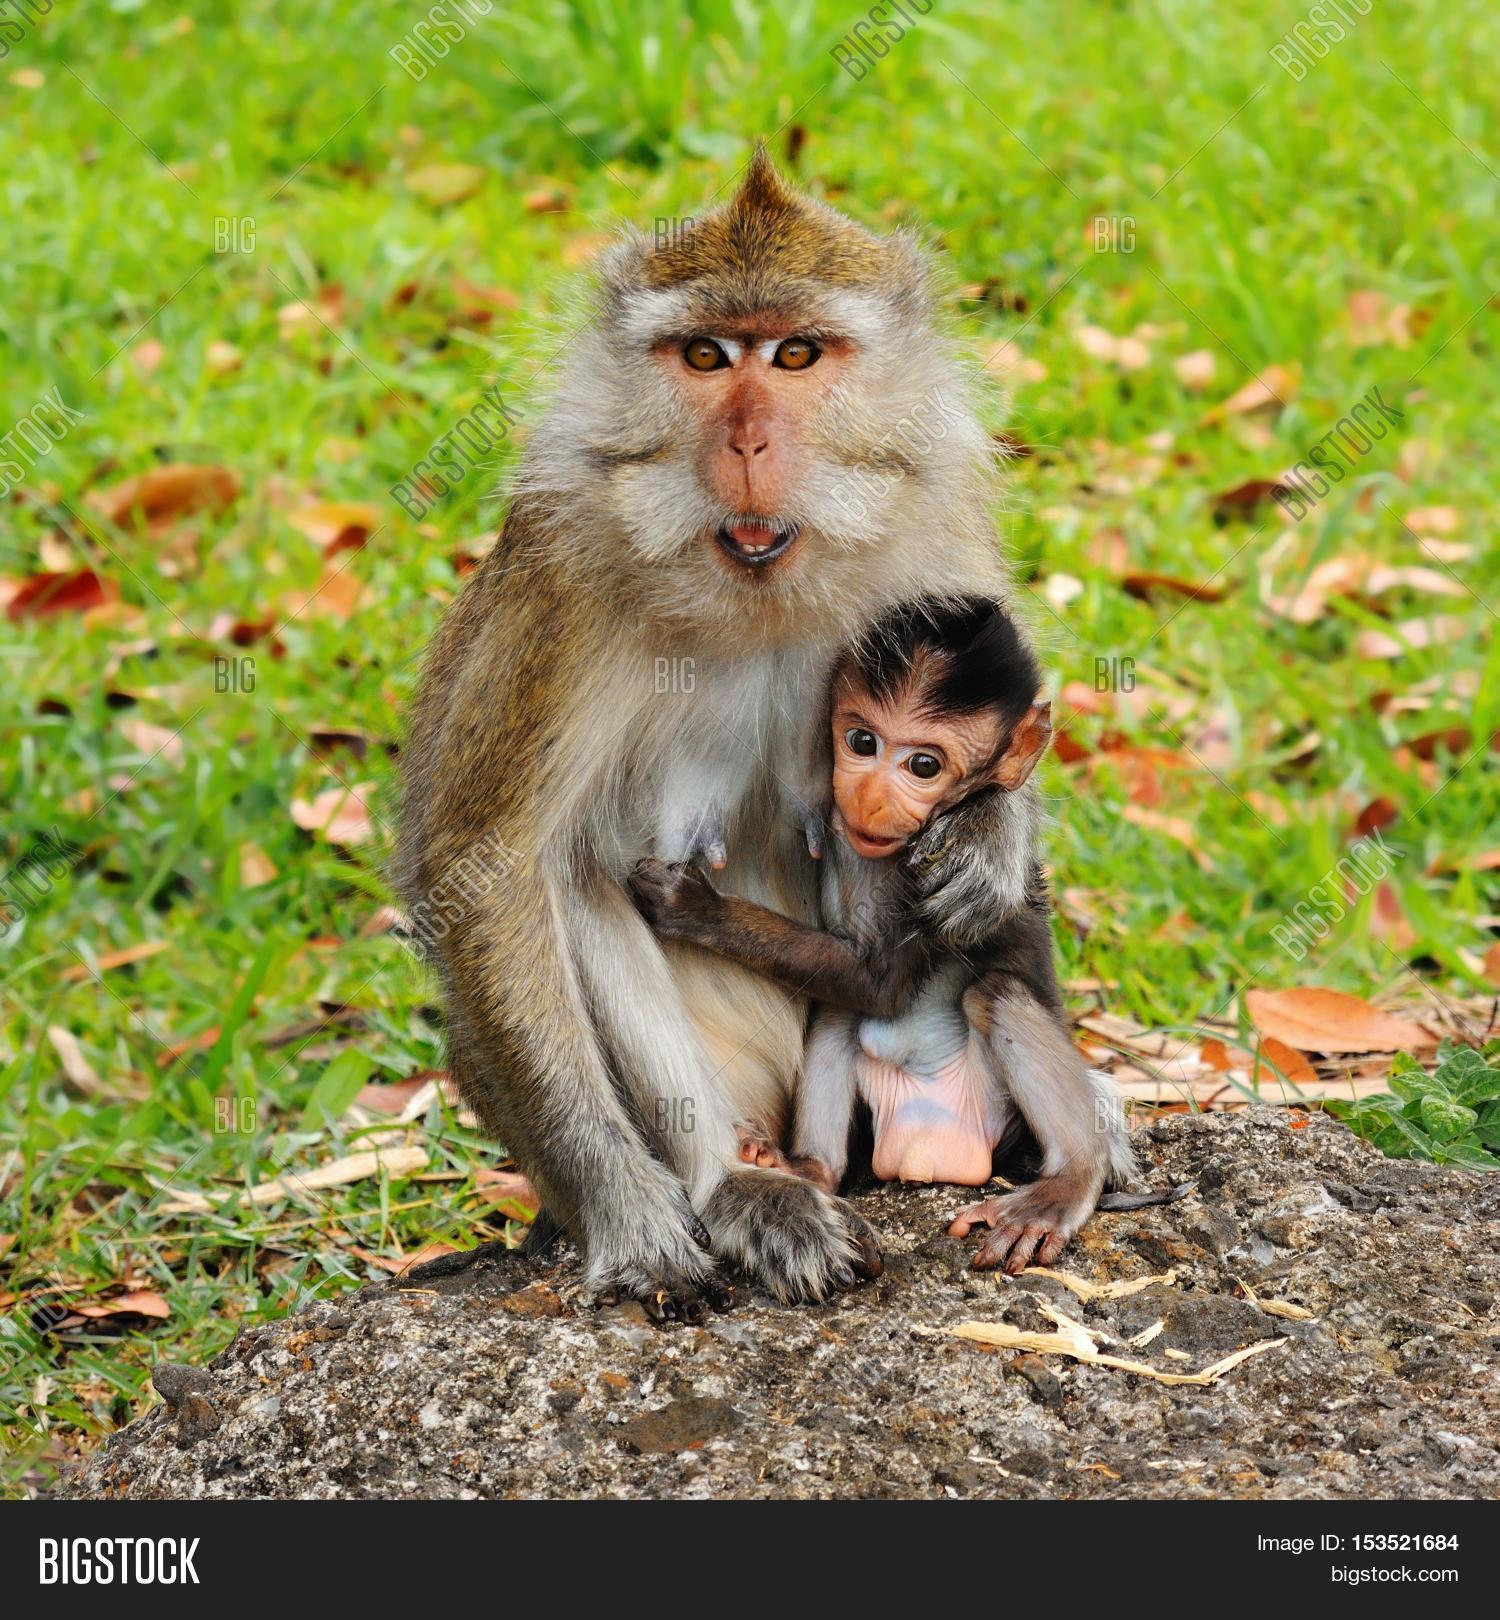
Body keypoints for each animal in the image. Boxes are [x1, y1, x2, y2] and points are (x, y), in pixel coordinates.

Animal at [396, 146, 1057, 1321]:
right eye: (705, 356)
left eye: (795, 353)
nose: (747, 439)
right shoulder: (562, 576)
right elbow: (489, 864)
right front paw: (629, 1210)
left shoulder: (936, 529)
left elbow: (1011, 728)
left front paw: (988, 842)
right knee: (576, 878)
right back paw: (738, 1185)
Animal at [629, 595, 1144, 1274]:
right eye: (862, 741)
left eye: (924, 765)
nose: (870, 796)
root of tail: (927, 1151)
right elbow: (855, 989)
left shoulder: (929, 869)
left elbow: (882, 983)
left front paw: (695, 908)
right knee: (838, 1016)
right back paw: (811, 1170)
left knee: (994, 994)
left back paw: (1068, 1181)